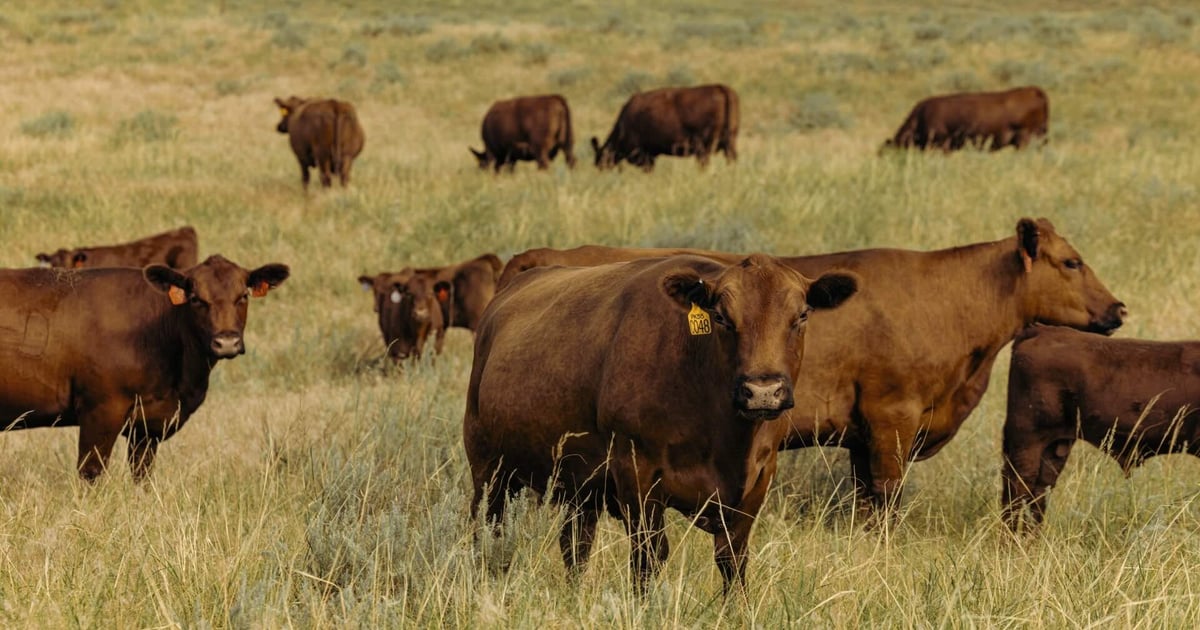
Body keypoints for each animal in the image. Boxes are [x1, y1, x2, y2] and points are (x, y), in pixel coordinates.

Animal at [0, 255, 289, 481]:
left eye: (243, 296)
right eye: (196, 299)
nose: (227, 342)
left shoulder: (146, 426)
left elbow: (142, 474)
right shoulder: (101, 408)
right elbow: (91, 471)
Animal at [464, 254, 858, 593]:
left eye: (802, 315)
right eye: (721, 317)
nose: (763, 391)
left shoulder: (759, 478)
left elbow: (733, 558)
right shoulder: (636, 471)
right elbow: (649, 555)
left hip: (579, 485)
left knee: (575, 545)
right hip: (488, 469)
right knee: (488, 533)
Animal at [486, 218, 1126, 517]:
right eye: (1072, 262)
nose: (1118, 308)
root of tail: (541, 258)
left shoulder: (863, 435)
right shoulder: (892, 417)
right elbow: (886, 501)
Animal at [591, 84, 739, 171]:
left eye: (601, 159)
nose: (600, 169)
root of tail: (720, 87)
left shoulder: (645, 156)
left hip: (703, 149)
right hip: (729, 143)